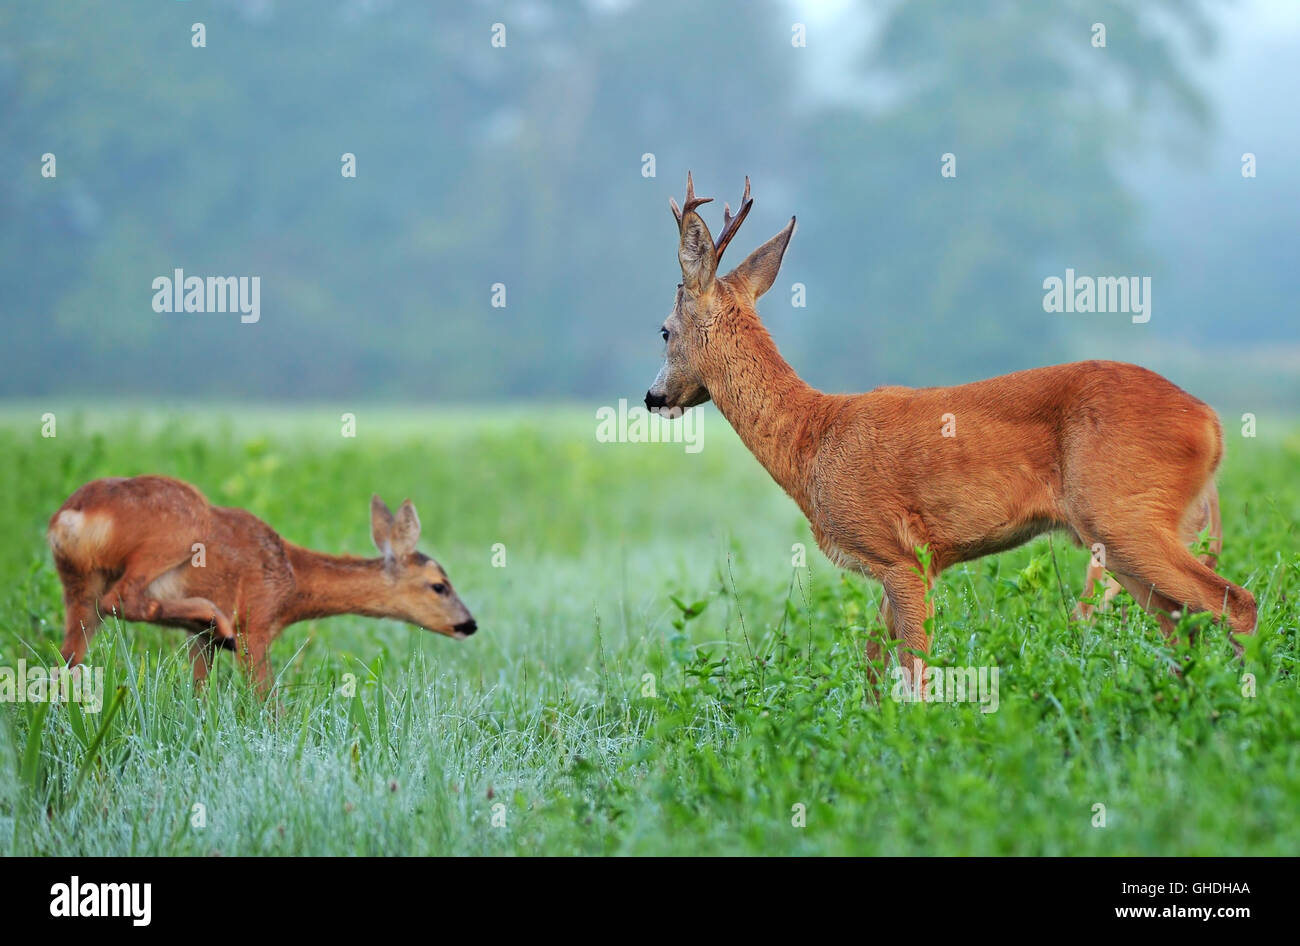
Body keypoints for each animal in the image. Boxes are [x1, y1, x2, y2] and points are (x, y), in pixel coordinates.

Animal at [47, 475, 477, 692]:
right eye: (440, 585)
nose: (469, 624)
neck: (291, 582)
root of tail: (70, 517)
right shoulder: (257, 623)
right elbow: (264, 699)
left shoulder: (197, 641)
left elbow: (200, 690)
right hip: (178, 530)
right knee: (123, 599)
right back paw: (214, 615)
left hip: (78, 586)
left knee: (67, 656)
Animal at [644, 173, 1256, 695]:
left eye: (664, 330)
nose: (653, 397)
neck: (812, 441)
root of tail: (1212, 423)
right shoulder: (907, 567)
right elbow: (874, 666)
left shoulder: (901, 554)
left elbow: (912, 671)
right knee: (1184, 628)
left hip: (1124, 513)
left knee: (1235, 604)